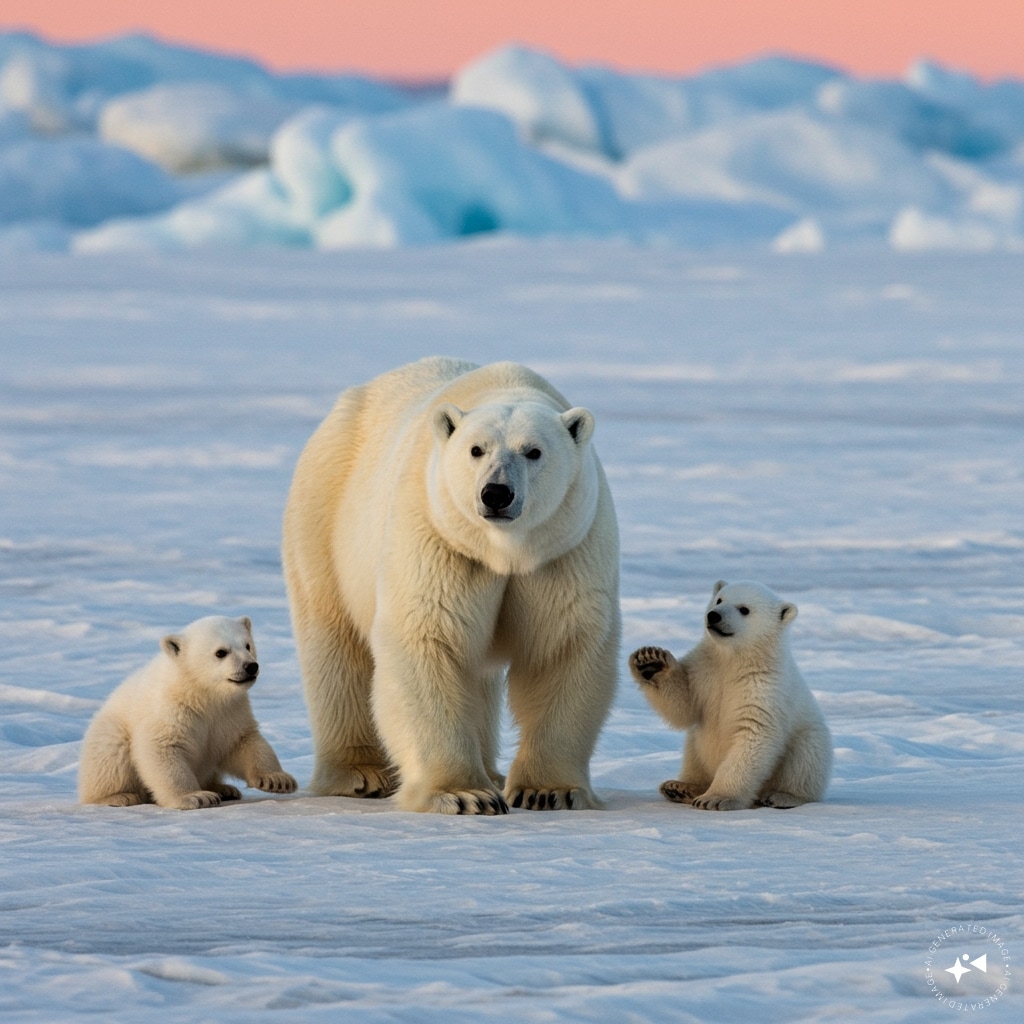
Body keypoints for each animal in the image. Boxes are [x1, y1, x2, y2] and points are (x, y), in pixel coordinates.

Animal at [78, 615, 297, 809]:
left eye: (247, 645)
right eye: (221, 652)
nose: (250, 666)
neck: (198, 692)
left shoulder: (230, 712)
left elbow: (244, 741)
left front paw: (277, 780)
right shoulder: (171, 710)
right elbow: (162, 748)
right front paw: (195, 797)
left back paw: (224, 789)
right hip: (110, 734)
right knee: (112, 755)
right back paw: (119, 796)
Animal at [281, 356, 620, 815]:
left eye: (533, 451)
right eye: (476, 449)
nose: (496, 493)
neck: (504, 551)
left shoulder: (564, 551)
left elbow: (563, 646)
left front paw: (549, 791)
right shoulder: (440, 537)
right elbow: (428, 638)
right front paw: (463, 794)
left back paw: (492, 772)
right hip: (324, 517)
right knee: (336, 645)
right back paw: (360, 773)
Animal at [628, 580, 831, 810]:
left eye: (744, 609)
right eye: (719, 600)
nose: (713, 616)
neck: (733, 660)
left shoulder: (763, 688)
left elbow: (752, 733)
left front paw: (715, 799)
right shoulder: (703, 670)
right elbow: (684, 706)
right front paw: (650, 661)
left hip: (809, 738)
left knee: (805, 760)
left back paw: (782, 796)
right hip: (696, 748)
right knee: (693, 752)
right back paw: (679, 787)